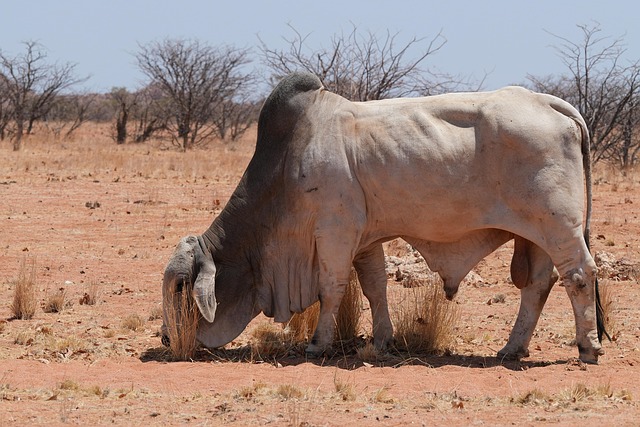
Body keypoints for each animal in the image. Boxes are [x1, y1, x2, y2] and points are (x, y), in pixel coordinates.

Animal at [161, 72, 606, 364]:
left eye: (181, 286)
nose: (167, 339)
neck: (285, 168)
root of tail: (549, 102)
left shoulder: (336, 232)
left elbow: (332, 288)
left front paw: (318, 344)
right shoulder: (366, 240)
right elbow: (375, 287)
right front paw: (382, 341)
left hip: (559, 227)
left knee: (580, 274)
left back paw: (588, 347)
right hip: (536, 234)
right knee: (538, 285)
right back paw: (512, 348)